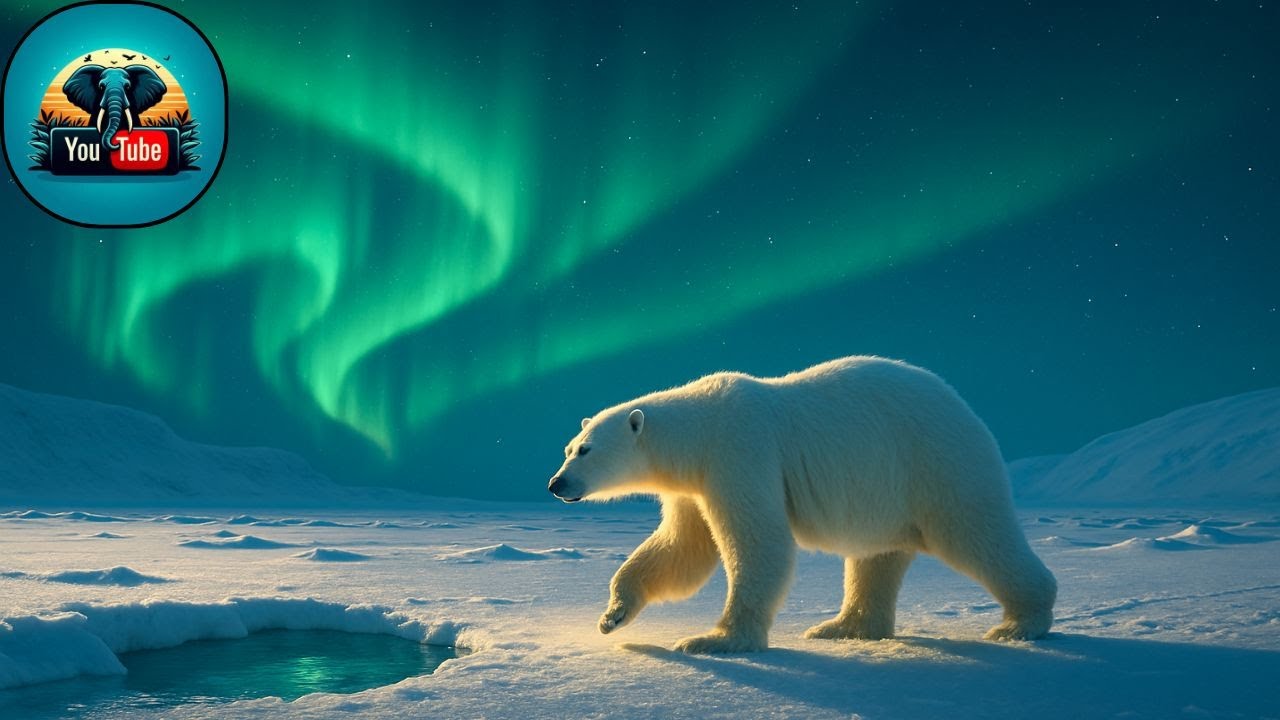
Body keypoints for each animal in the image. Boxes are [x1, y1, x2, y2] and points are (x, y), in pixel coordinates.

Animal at [547, 355, 1056, 654]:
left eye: (585, 450)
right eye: (568, 447)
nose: (556, 483)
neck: (701, 430)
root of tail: (965, 409)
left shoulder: (741, 452)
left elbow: (758, 542)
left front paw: (716, 640)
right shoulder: (693, 486)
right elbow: (680, 549)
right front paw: (612, 615)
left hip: (936, 464)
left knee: (977, 535)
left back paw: (1019, 624)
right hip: (886, 493)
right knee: (877, 556)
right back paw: (842, 627)